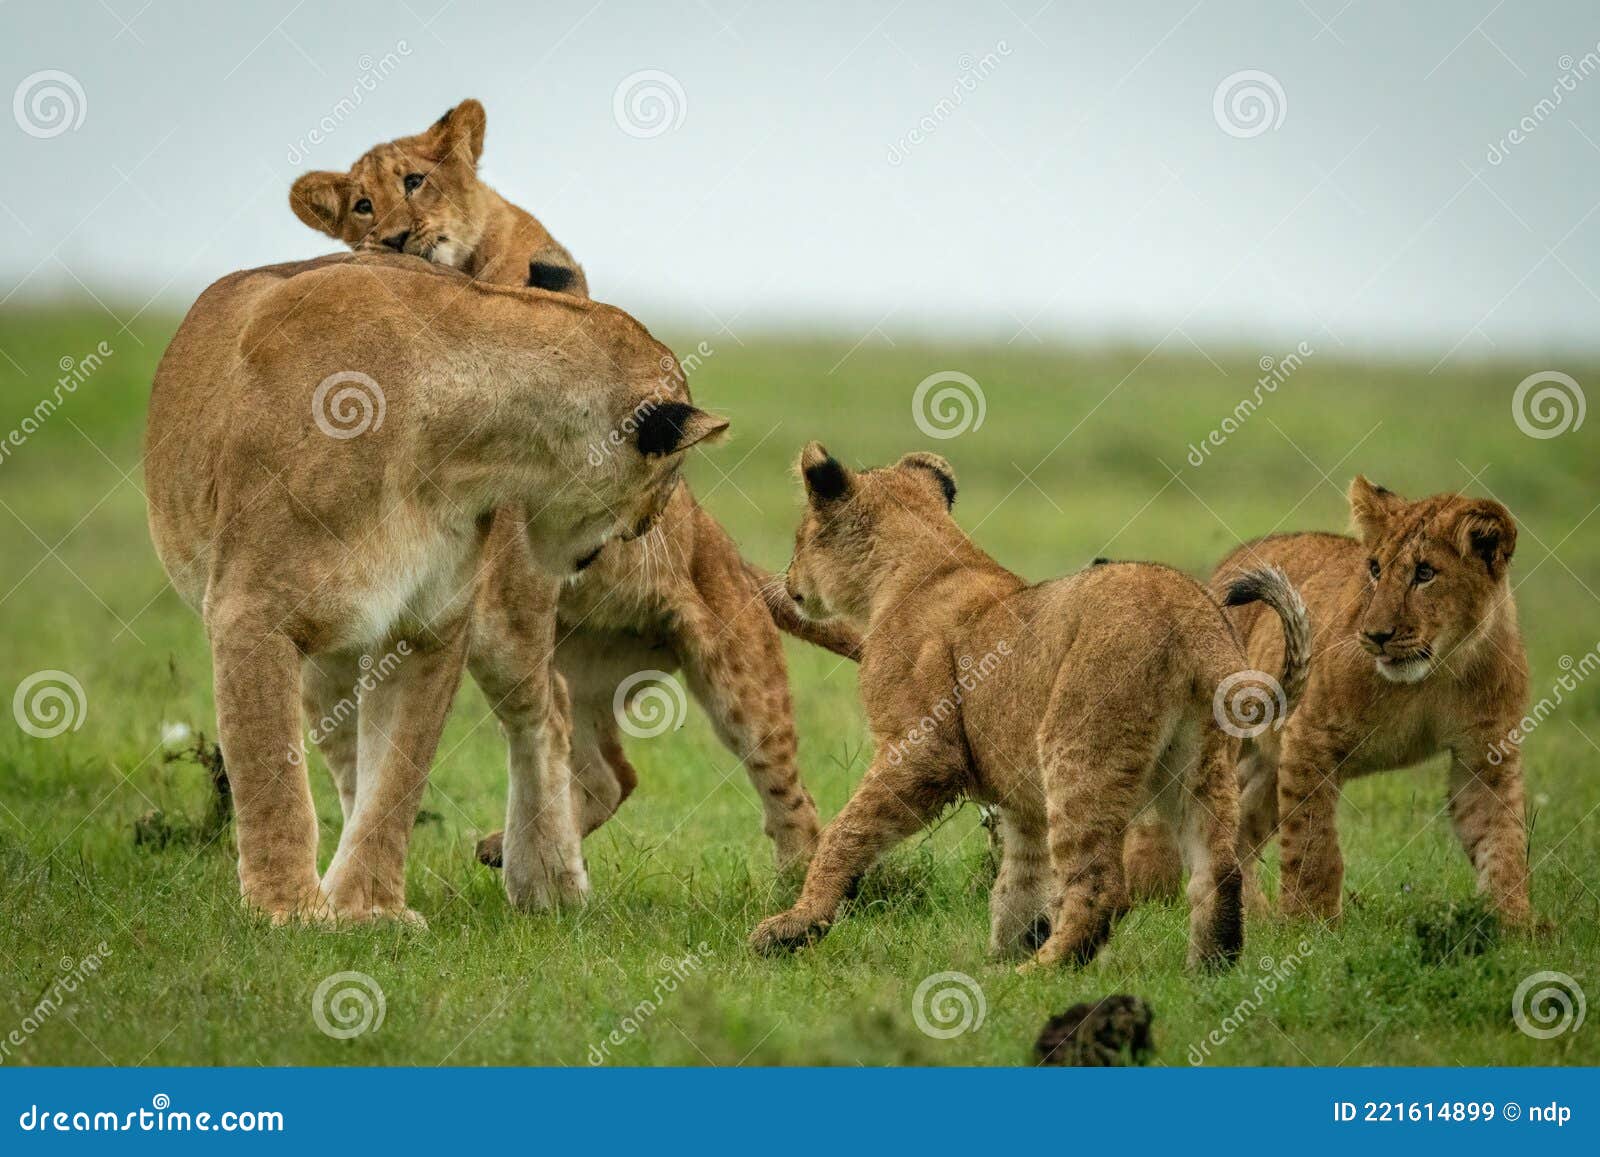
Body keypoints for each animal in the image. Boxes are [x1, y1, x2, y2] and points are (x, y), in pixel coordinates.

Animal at [144, 251, 728, 924]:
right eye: (671, 471)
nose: (652, 522)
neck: (461, 444)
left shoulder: (428, 627)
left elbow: (399, 775)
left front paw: (370, 909)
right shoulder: (251, 612)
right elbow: (270, 771)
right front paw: (292, 911)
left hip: (504, 623)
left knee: (548, 714)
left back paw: (548, 882)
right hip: (324, 664)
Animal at [291, 100, 858, 876]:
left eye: (415, 181)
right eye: (361, 206)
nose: (396, 239)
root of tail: (729, 552)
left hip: (740, 676)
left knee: (789, 795)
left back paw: (799, 878)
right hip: (577, 663)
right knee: (608, 771)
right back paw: (510, 847)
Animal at [747, 445, 1311, 969]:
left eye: (798, 538)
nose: (789, 582)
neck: (919, 568)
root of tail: (1195, 617)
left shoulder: (923, 751)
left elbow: (847, 832)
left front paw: (794, 924)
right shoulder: (1021, 794)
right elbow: (1018, 883)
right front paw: (999, 958)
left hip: (1077, 748)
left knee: (1103, 885)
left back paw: (1042, 972)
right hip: (1199, 764)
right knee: (1219, 869)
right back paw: (1206, 972)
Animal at [1125, 476, 1533, 925]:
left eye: (1425, 573)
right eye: (1375, 569)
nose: (1376, 635)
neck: (1437, 671)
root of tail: (1227, 565)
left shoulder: (1486, 753)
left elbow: (1502, 838)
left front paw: (1515, 924)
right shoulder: (1311, 739)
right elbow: (1312, 841)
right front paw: (1309, 921)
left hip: (1269, 759)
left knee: (1240, 821)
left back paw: (1250, 911)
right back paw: (1149, 893)